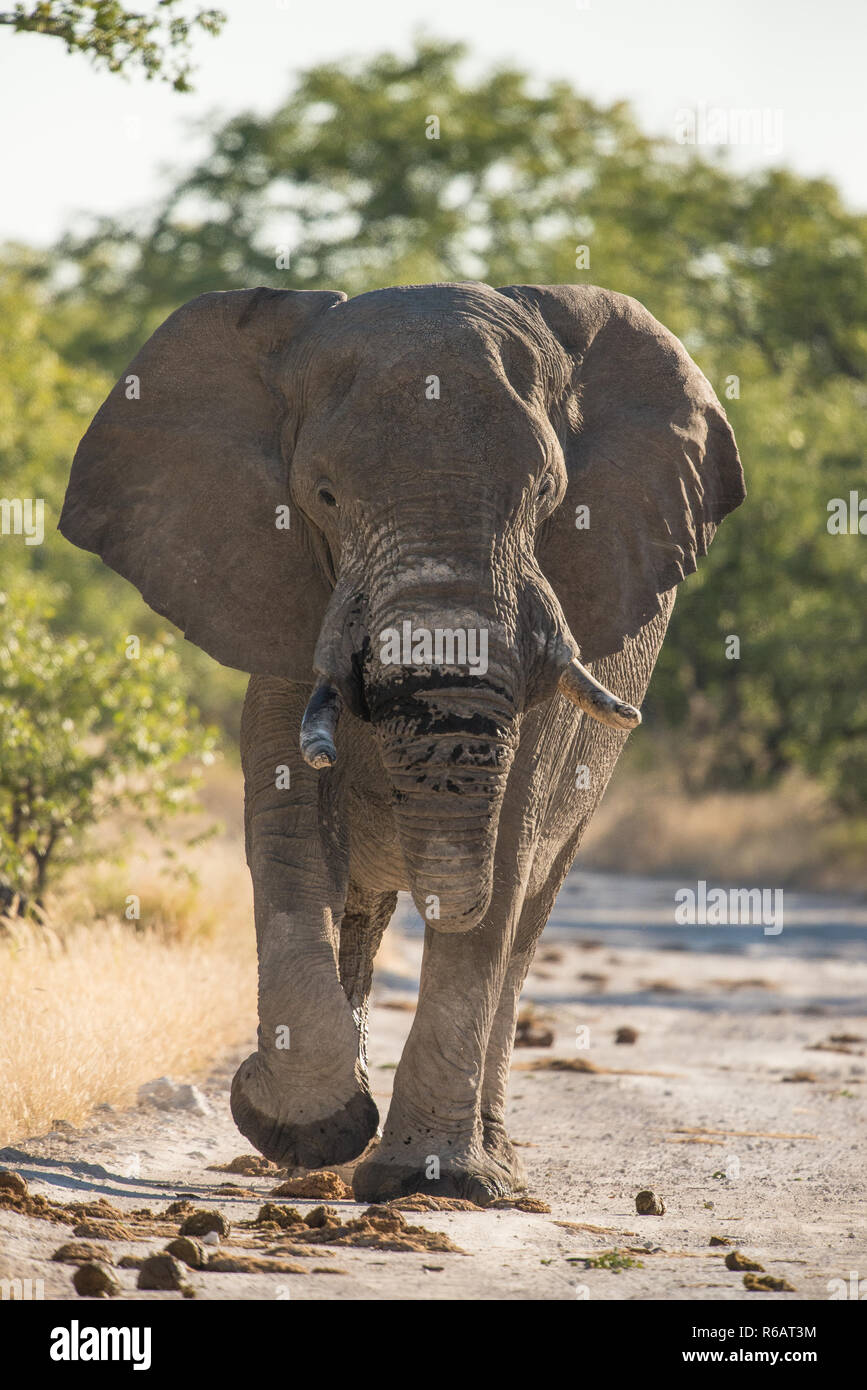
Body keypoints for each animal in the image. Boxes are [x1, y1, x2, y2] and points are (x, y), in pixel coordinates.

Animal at [60, 281, 744, 1205]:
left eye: (546, 494)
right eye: (322, 496)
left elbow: (505, 848)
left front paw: (430, 1179)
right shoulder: (280, 592)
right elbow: (290, 828)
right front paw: (303, 1126)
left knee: (527, 908)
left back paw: (492, 1164)